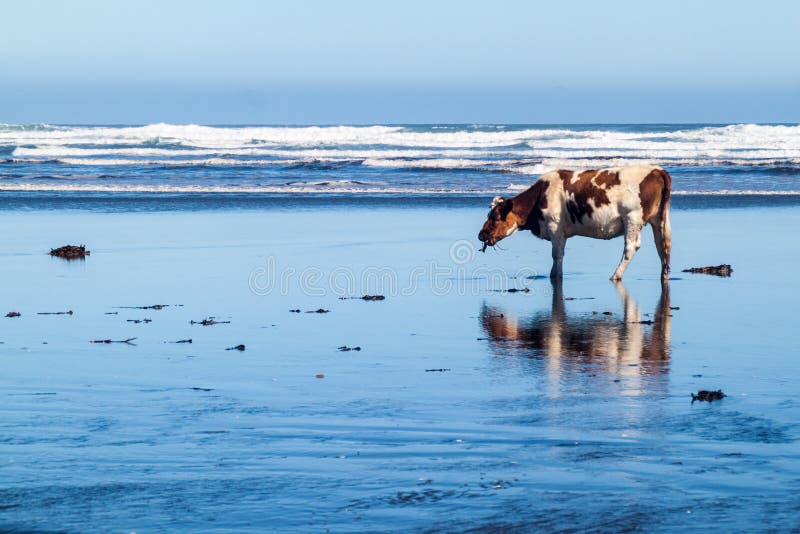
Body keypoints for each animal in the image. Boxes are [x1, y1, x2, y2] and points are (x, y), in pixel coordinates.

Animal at [477, 165, 671, 281]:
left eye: (495, 216)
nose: (481, 235)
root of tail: (655, 169)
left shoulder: (555, 227)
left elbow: (557, 255)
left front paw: (555, 276)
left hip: (632, 218)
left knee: (631, 247)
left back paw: (615, 276)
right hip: (657, 219)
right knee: (662, 245)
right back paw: (664, 275)